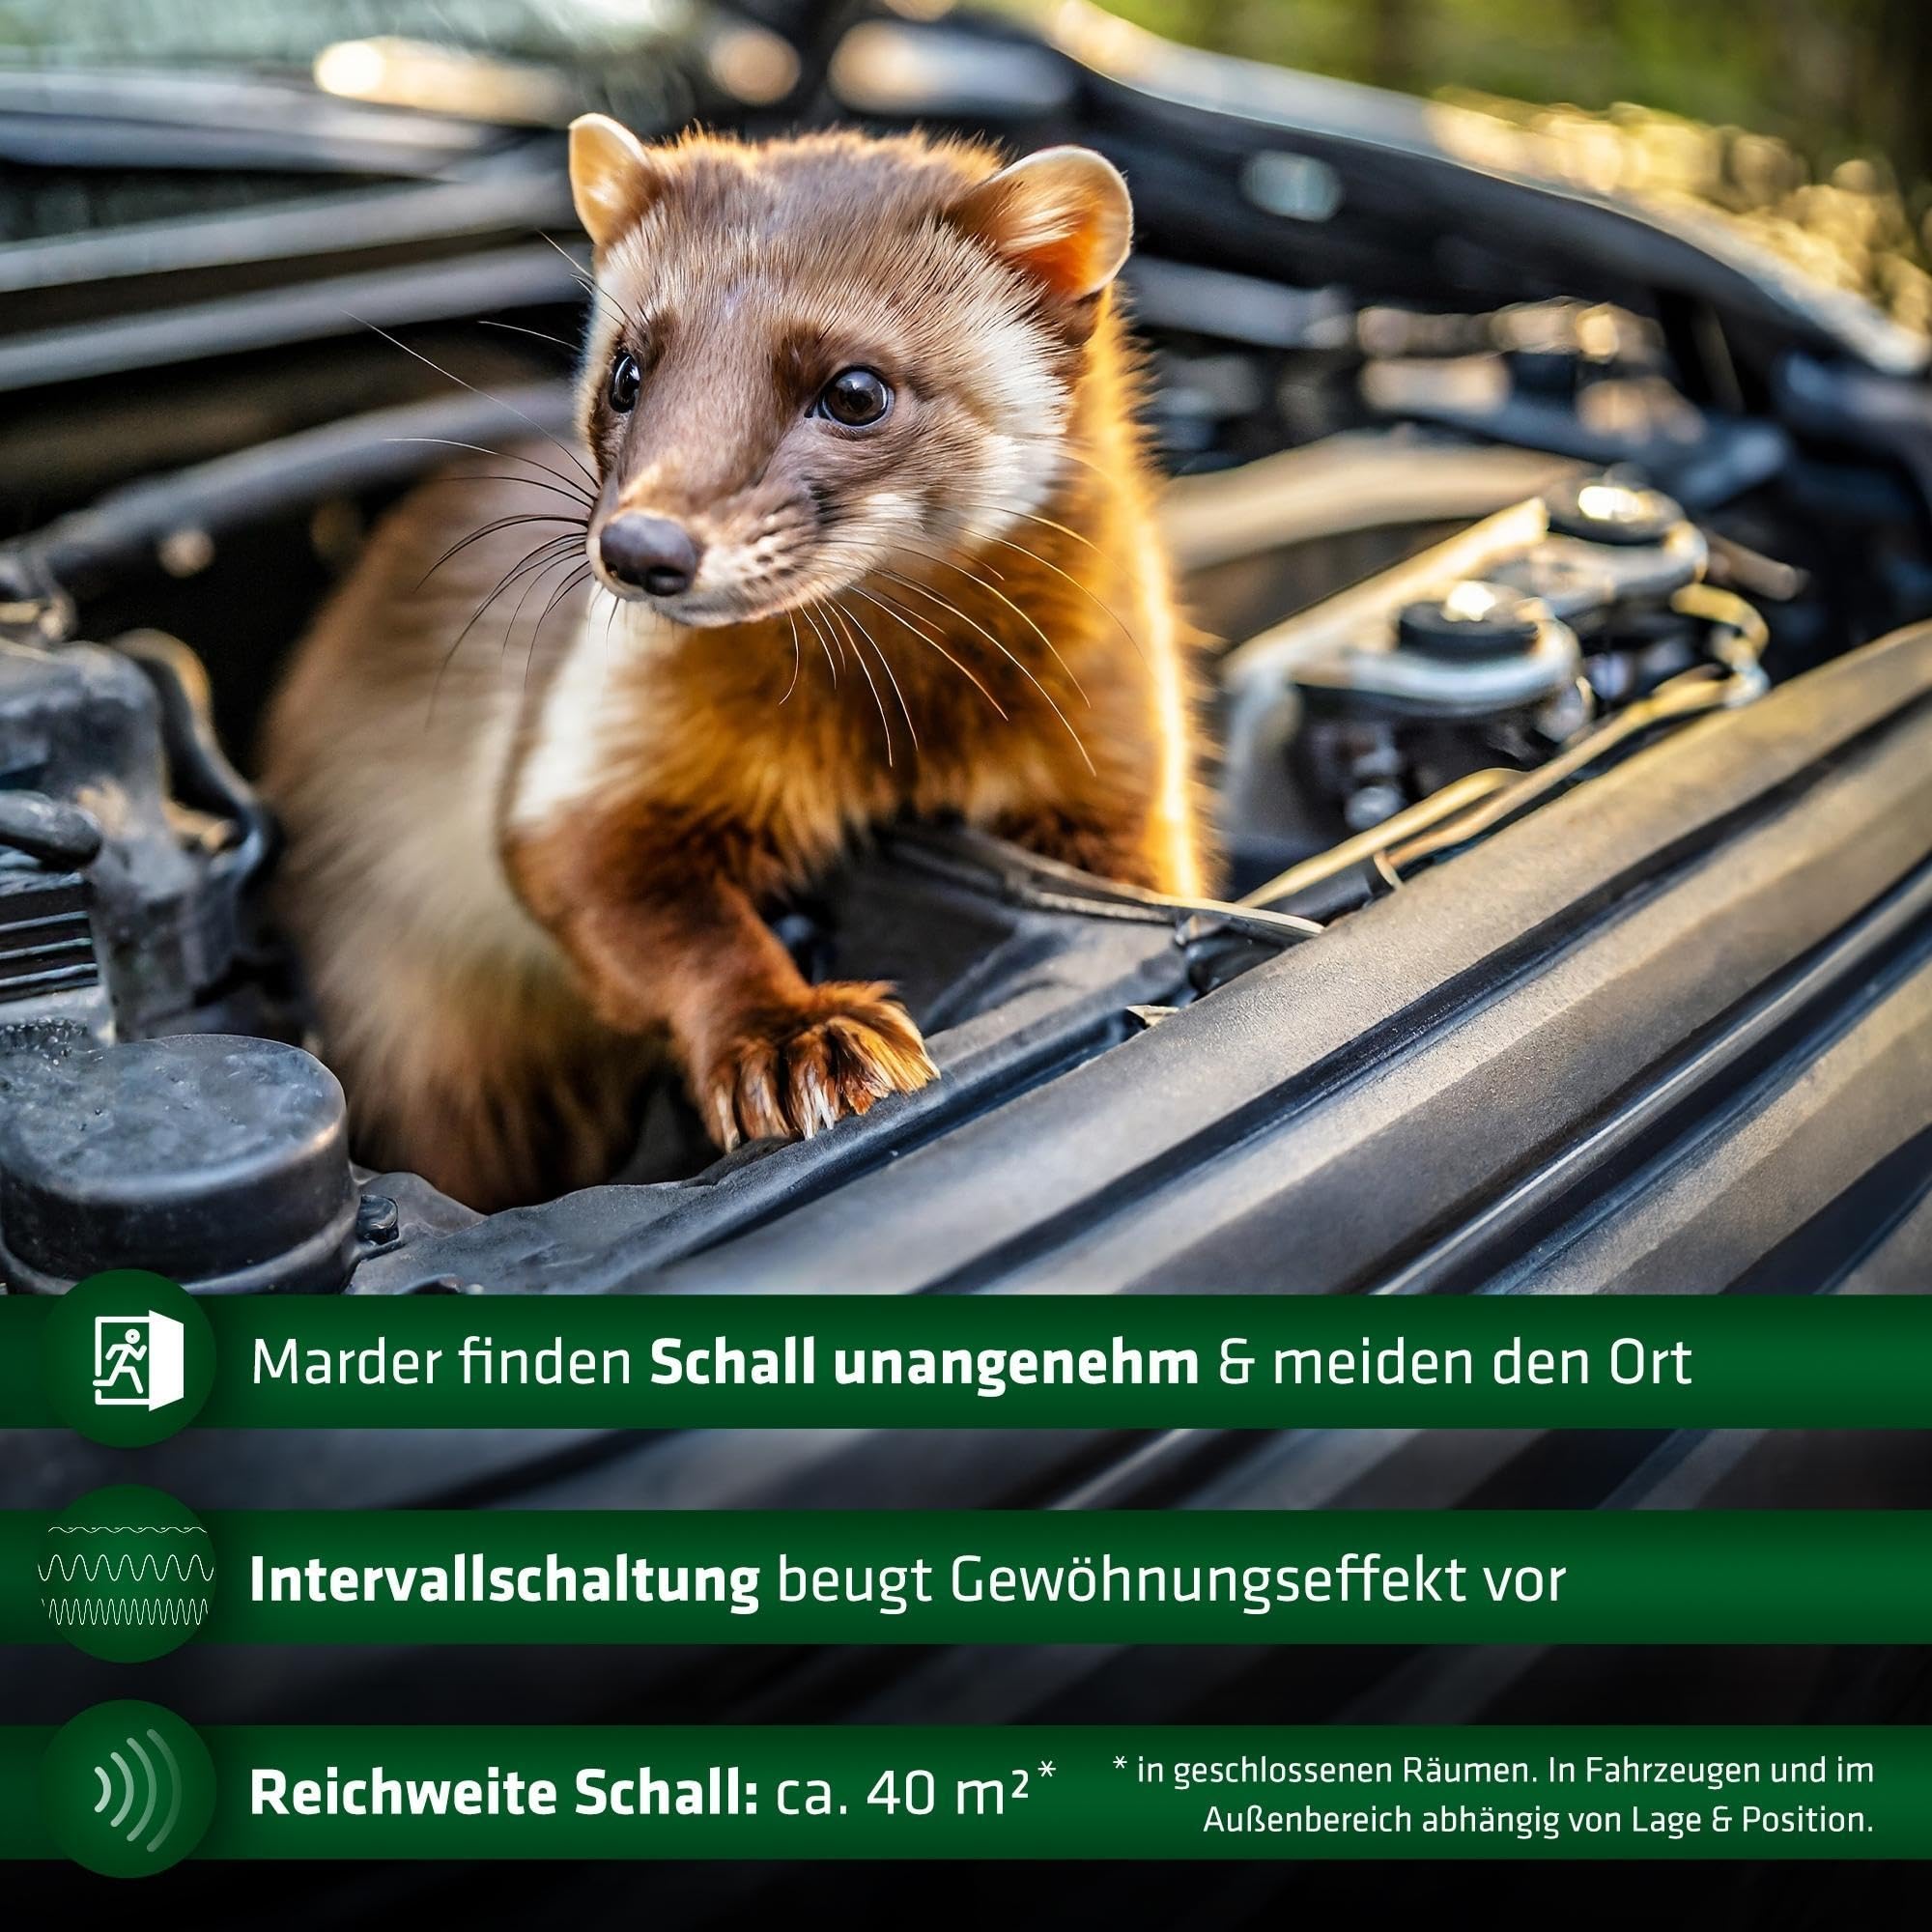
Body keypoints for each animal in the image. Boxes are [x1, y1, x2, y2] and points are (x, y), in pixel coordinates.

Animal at [260, 116, 1212, 1210]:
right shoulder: (587, 751)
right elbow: (648, 909)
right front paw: (806, 1043)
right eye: (626, 370)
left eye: (854, 390)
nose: (640, 546)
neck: (887, 730)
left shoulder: (1119, 768)